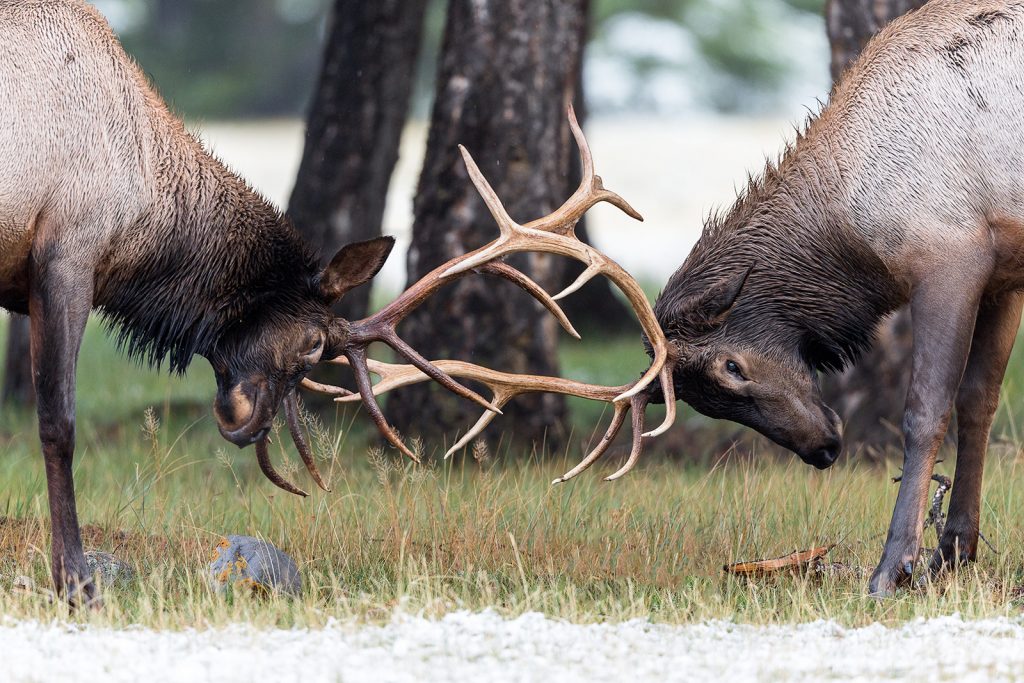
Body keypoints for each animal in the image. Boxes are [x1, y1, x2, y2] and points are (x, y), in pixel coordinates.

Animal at [0, 0, 674, 606]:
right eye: (312, 344)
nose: (244, 423)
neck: (142, 219)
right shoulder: (68, 250)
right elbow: (57, 424)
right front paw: (76, 584)